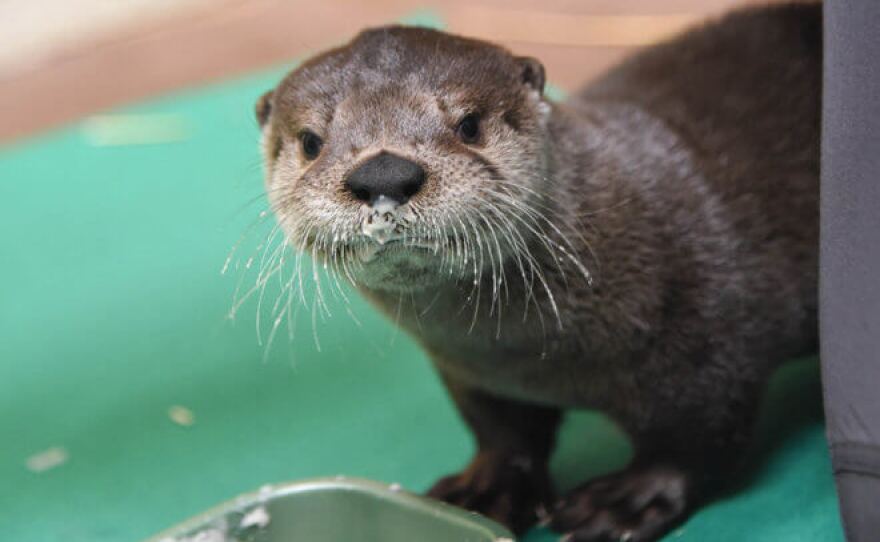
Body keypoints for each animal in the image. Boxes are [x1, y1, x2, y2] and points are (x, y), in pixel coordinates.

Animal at [254, 3, 821, 541]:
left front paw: (629, 499)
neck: (529, 352)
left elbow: (697, 438)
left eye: (469, 124)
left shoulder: (710, 338)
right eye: (310, 141)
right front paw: (487, 487)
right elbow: (504, 432)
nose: (383, 173)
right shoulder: (474, 375)